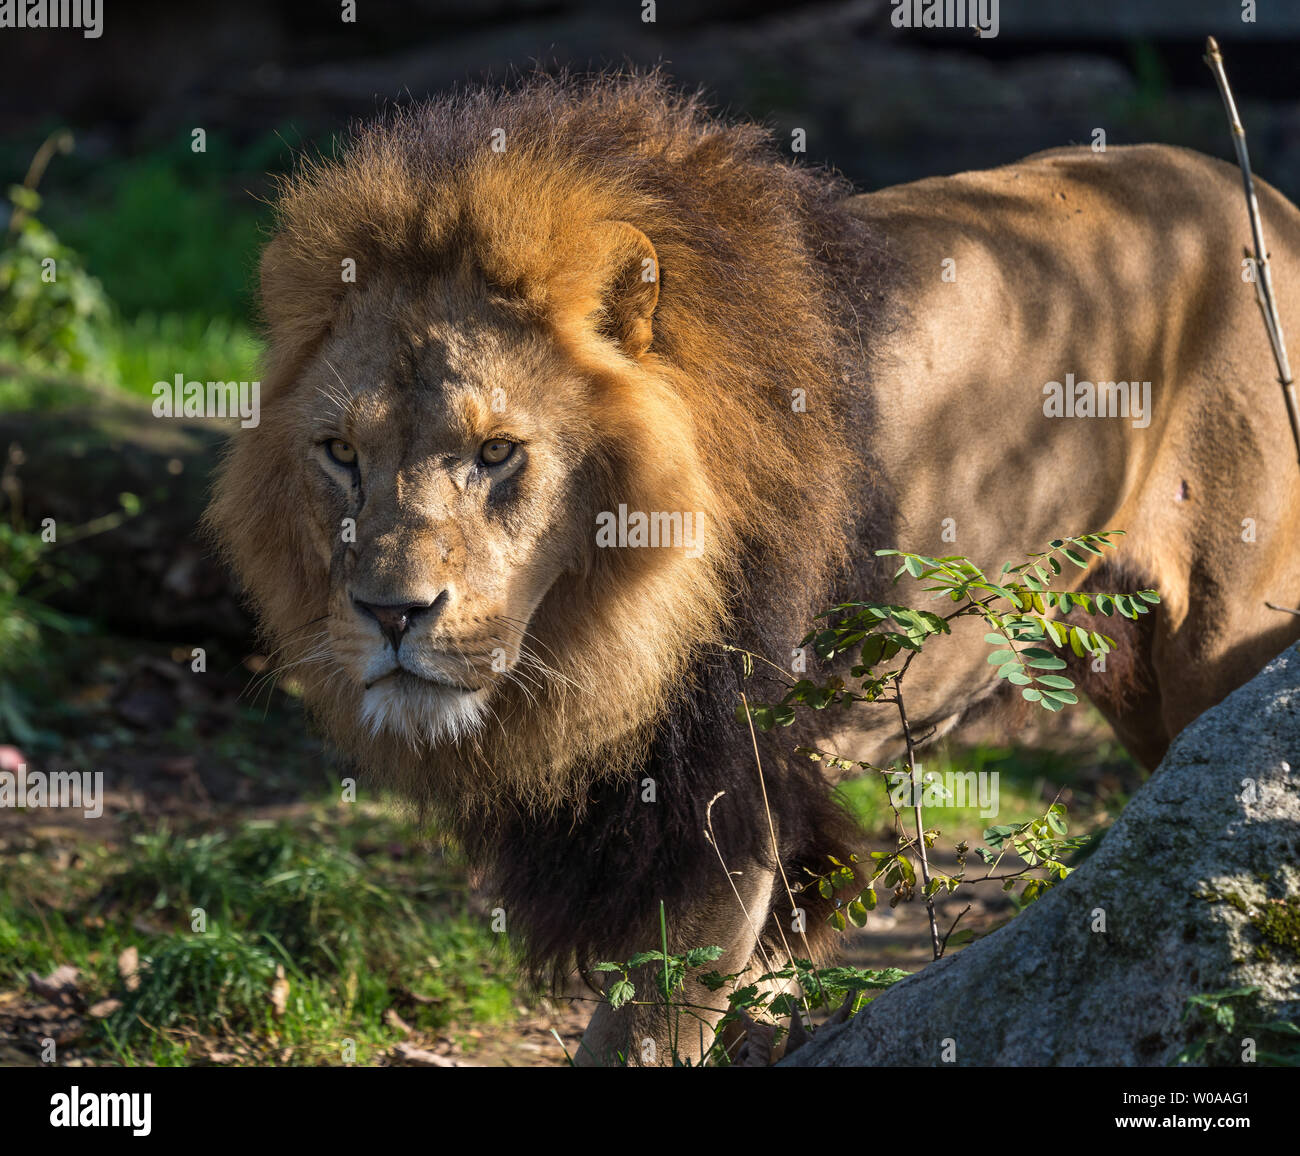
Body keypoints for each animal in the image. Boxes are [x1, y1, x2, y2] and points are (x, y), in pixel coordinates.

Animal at [206, 72, 1300, 1065]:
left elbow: (642, 1037)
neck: (602, 637)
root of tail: (1265, 199)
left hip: (1221, 636)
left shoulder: (724, 812)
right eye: (341, 454)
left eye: (496, 453)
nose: (390, 614)